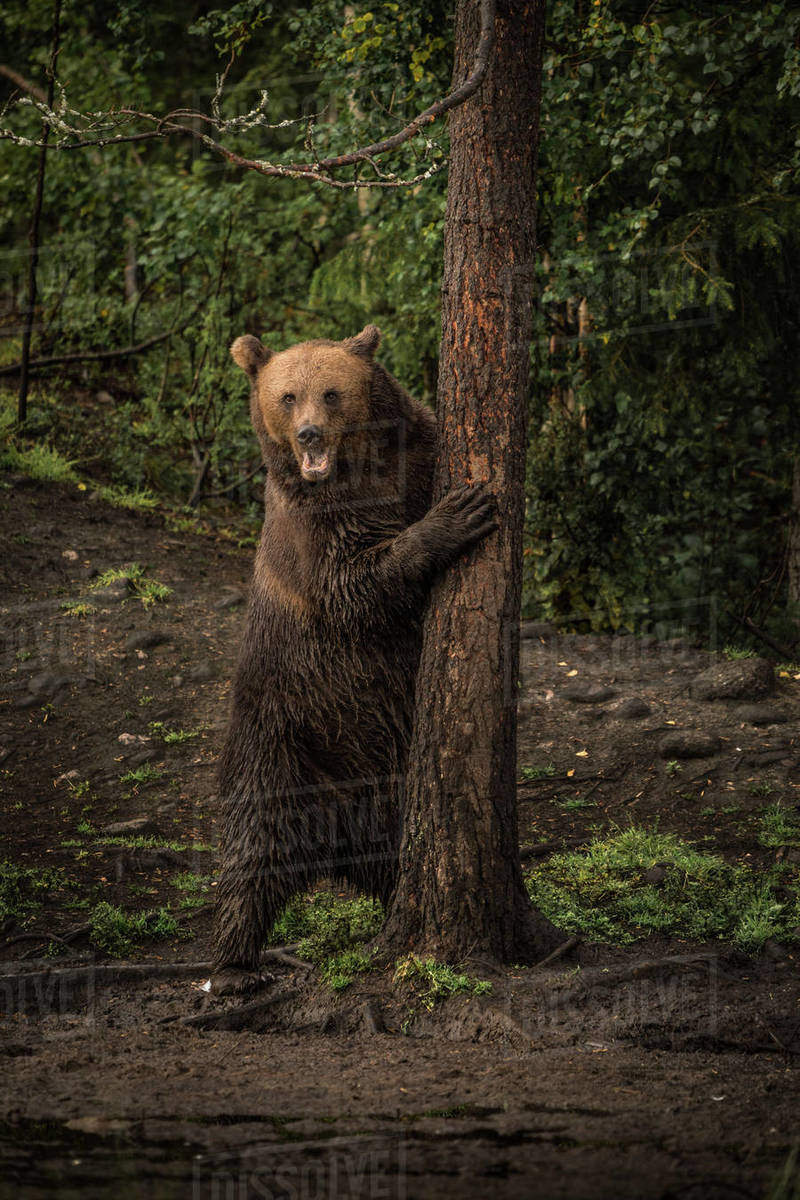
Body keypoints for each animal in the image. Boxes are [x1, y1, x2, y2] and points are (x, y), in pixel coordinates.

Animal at [211, 324, 495, 993]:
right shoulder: (316, 535)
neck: (352, 474)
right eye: (287, 395)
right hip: (278, 739)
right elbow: (354, 587)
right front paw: (456, 516)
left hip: (385, 779)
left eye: (332, 392)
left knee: (396, 854)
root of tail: (336, 834)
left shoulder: (415, 458)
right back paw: (232, 964)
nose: (310, 434)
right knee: (250, 848)